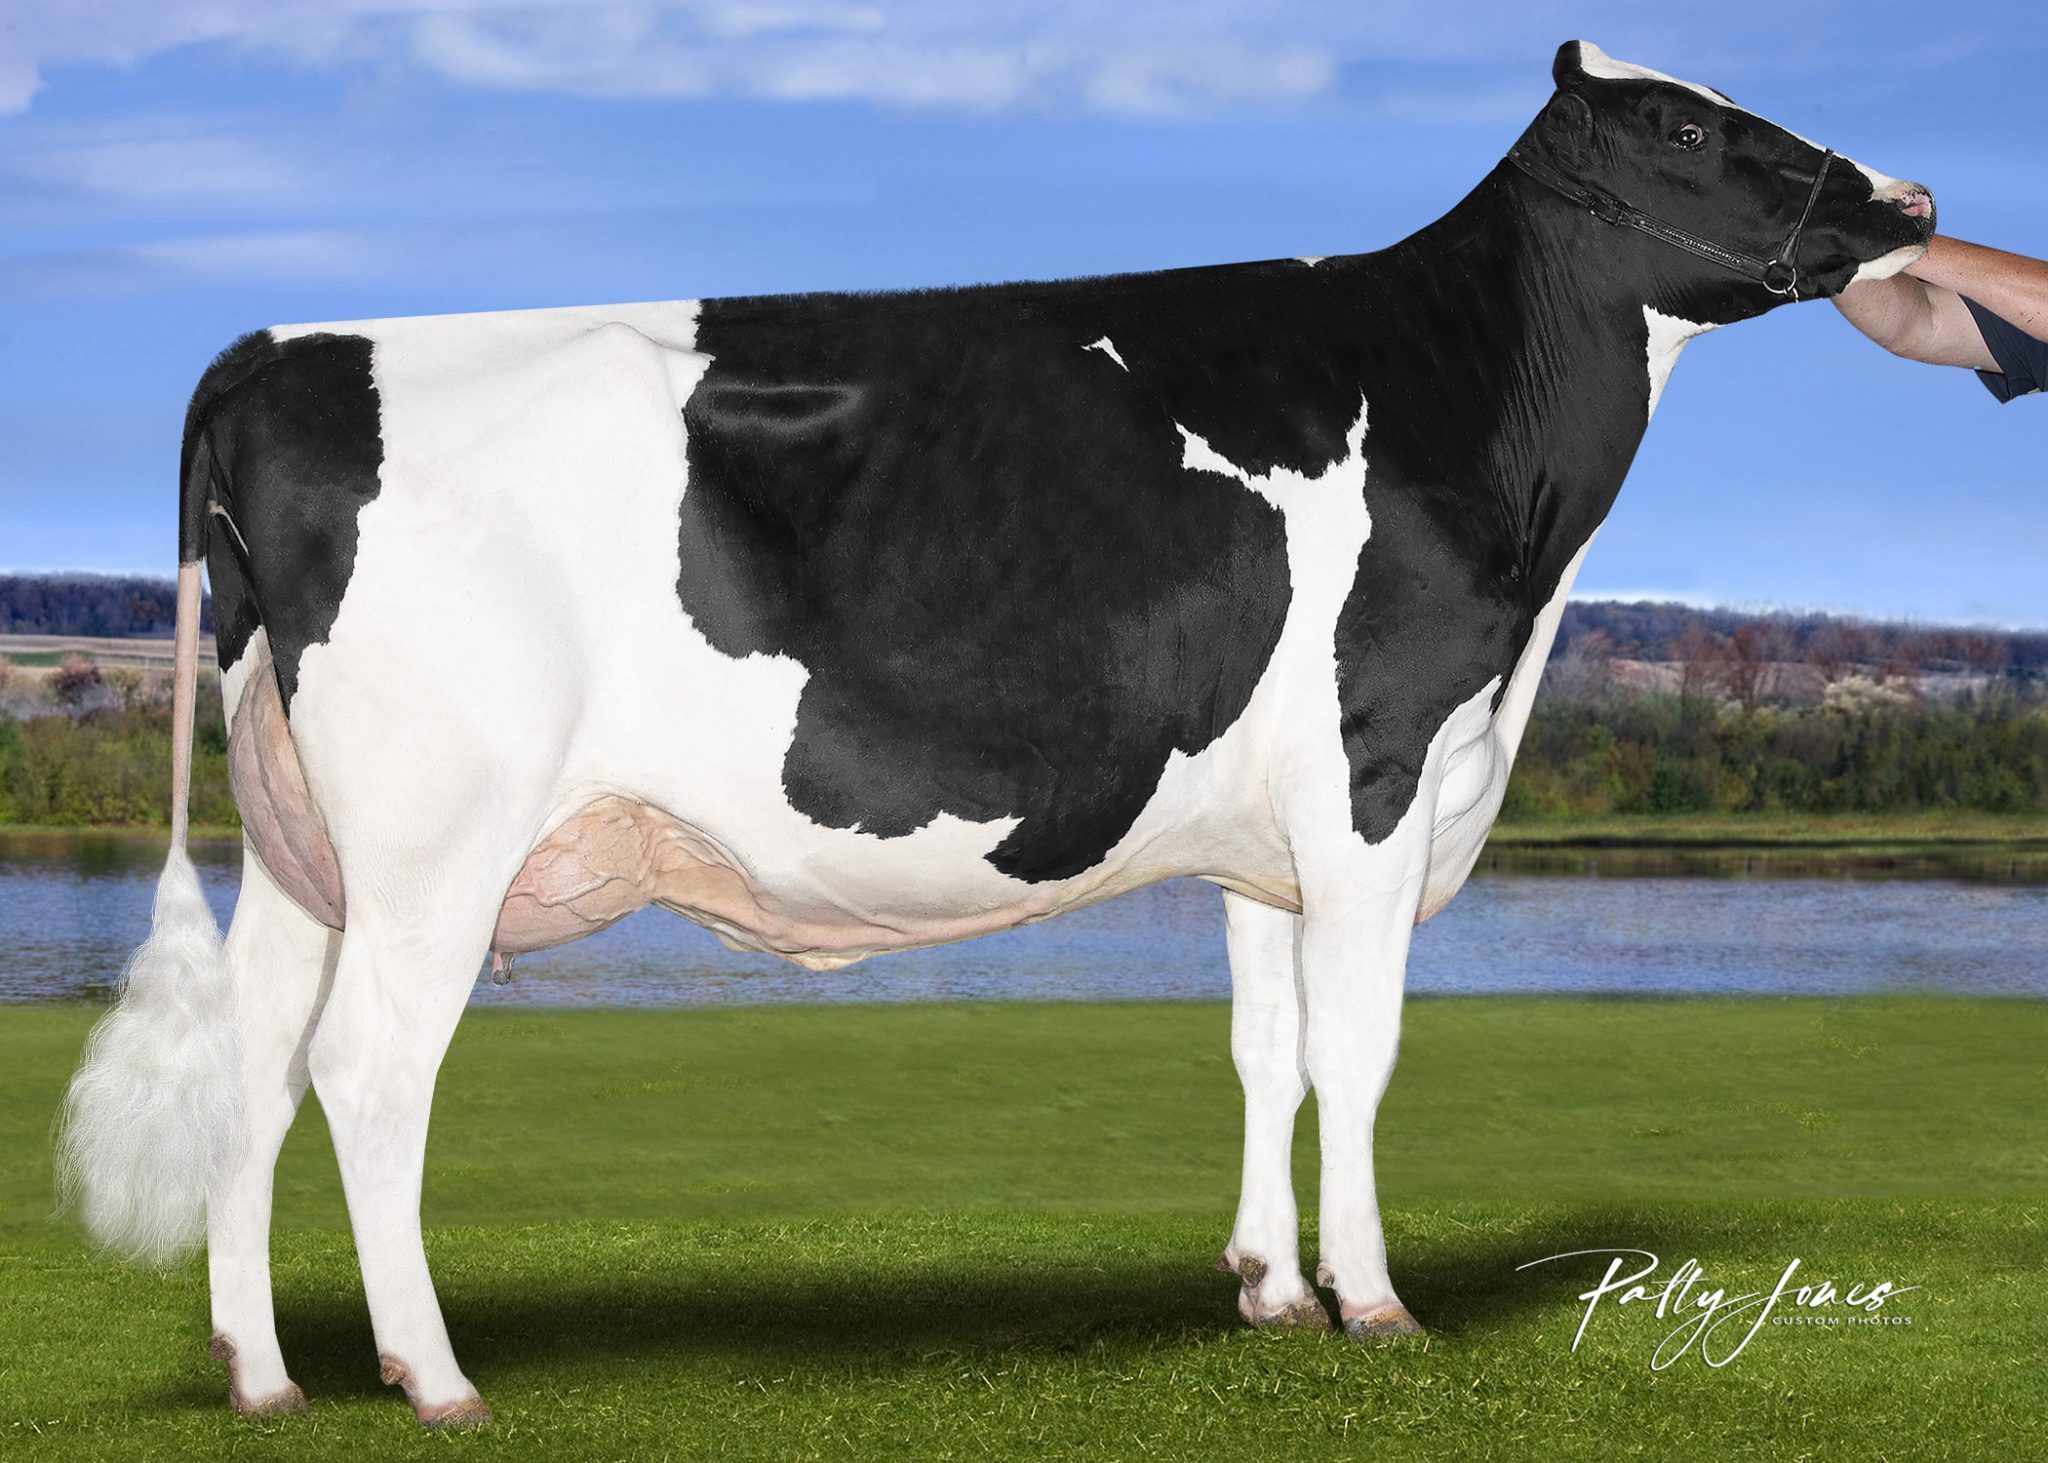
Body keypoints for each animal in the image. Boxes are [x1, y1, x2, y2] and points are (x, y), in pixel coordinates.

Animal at [59, 40, 1934, 1426]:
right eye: (1686, 121)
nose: (1904, 195)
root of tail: (283, 346)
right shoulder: (1373, 773)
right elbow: (1356, 1050)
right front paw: (1376, 1300)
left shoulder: (1262, 839)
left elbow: (1263, 1048)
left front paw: (1268, 1286)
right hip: (437, 836)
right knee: (368, 1071)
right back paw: (433, 1375)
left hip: (303, 844)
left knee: (254, 1063)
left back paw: (263, 1373)